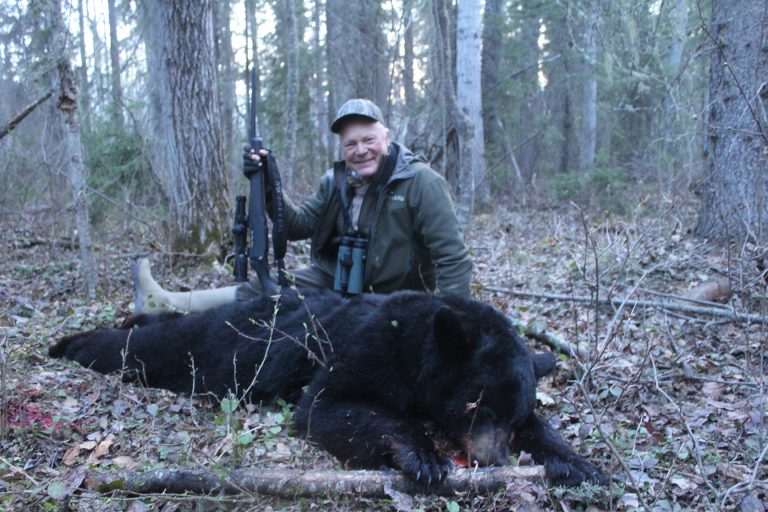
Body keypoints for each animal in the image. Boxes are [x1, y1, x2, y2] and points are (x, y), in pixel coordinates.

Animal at [49, 289, 606, 487]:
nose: (492, 460)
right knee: (158, 348)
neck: (418, 344)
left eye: (512, 417)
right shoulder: (371, 347)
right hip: (222, 349)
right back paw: (69, 341)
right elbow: (330, 405)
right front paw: (424, 457)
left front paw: (579, 462)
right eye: (476, 404)